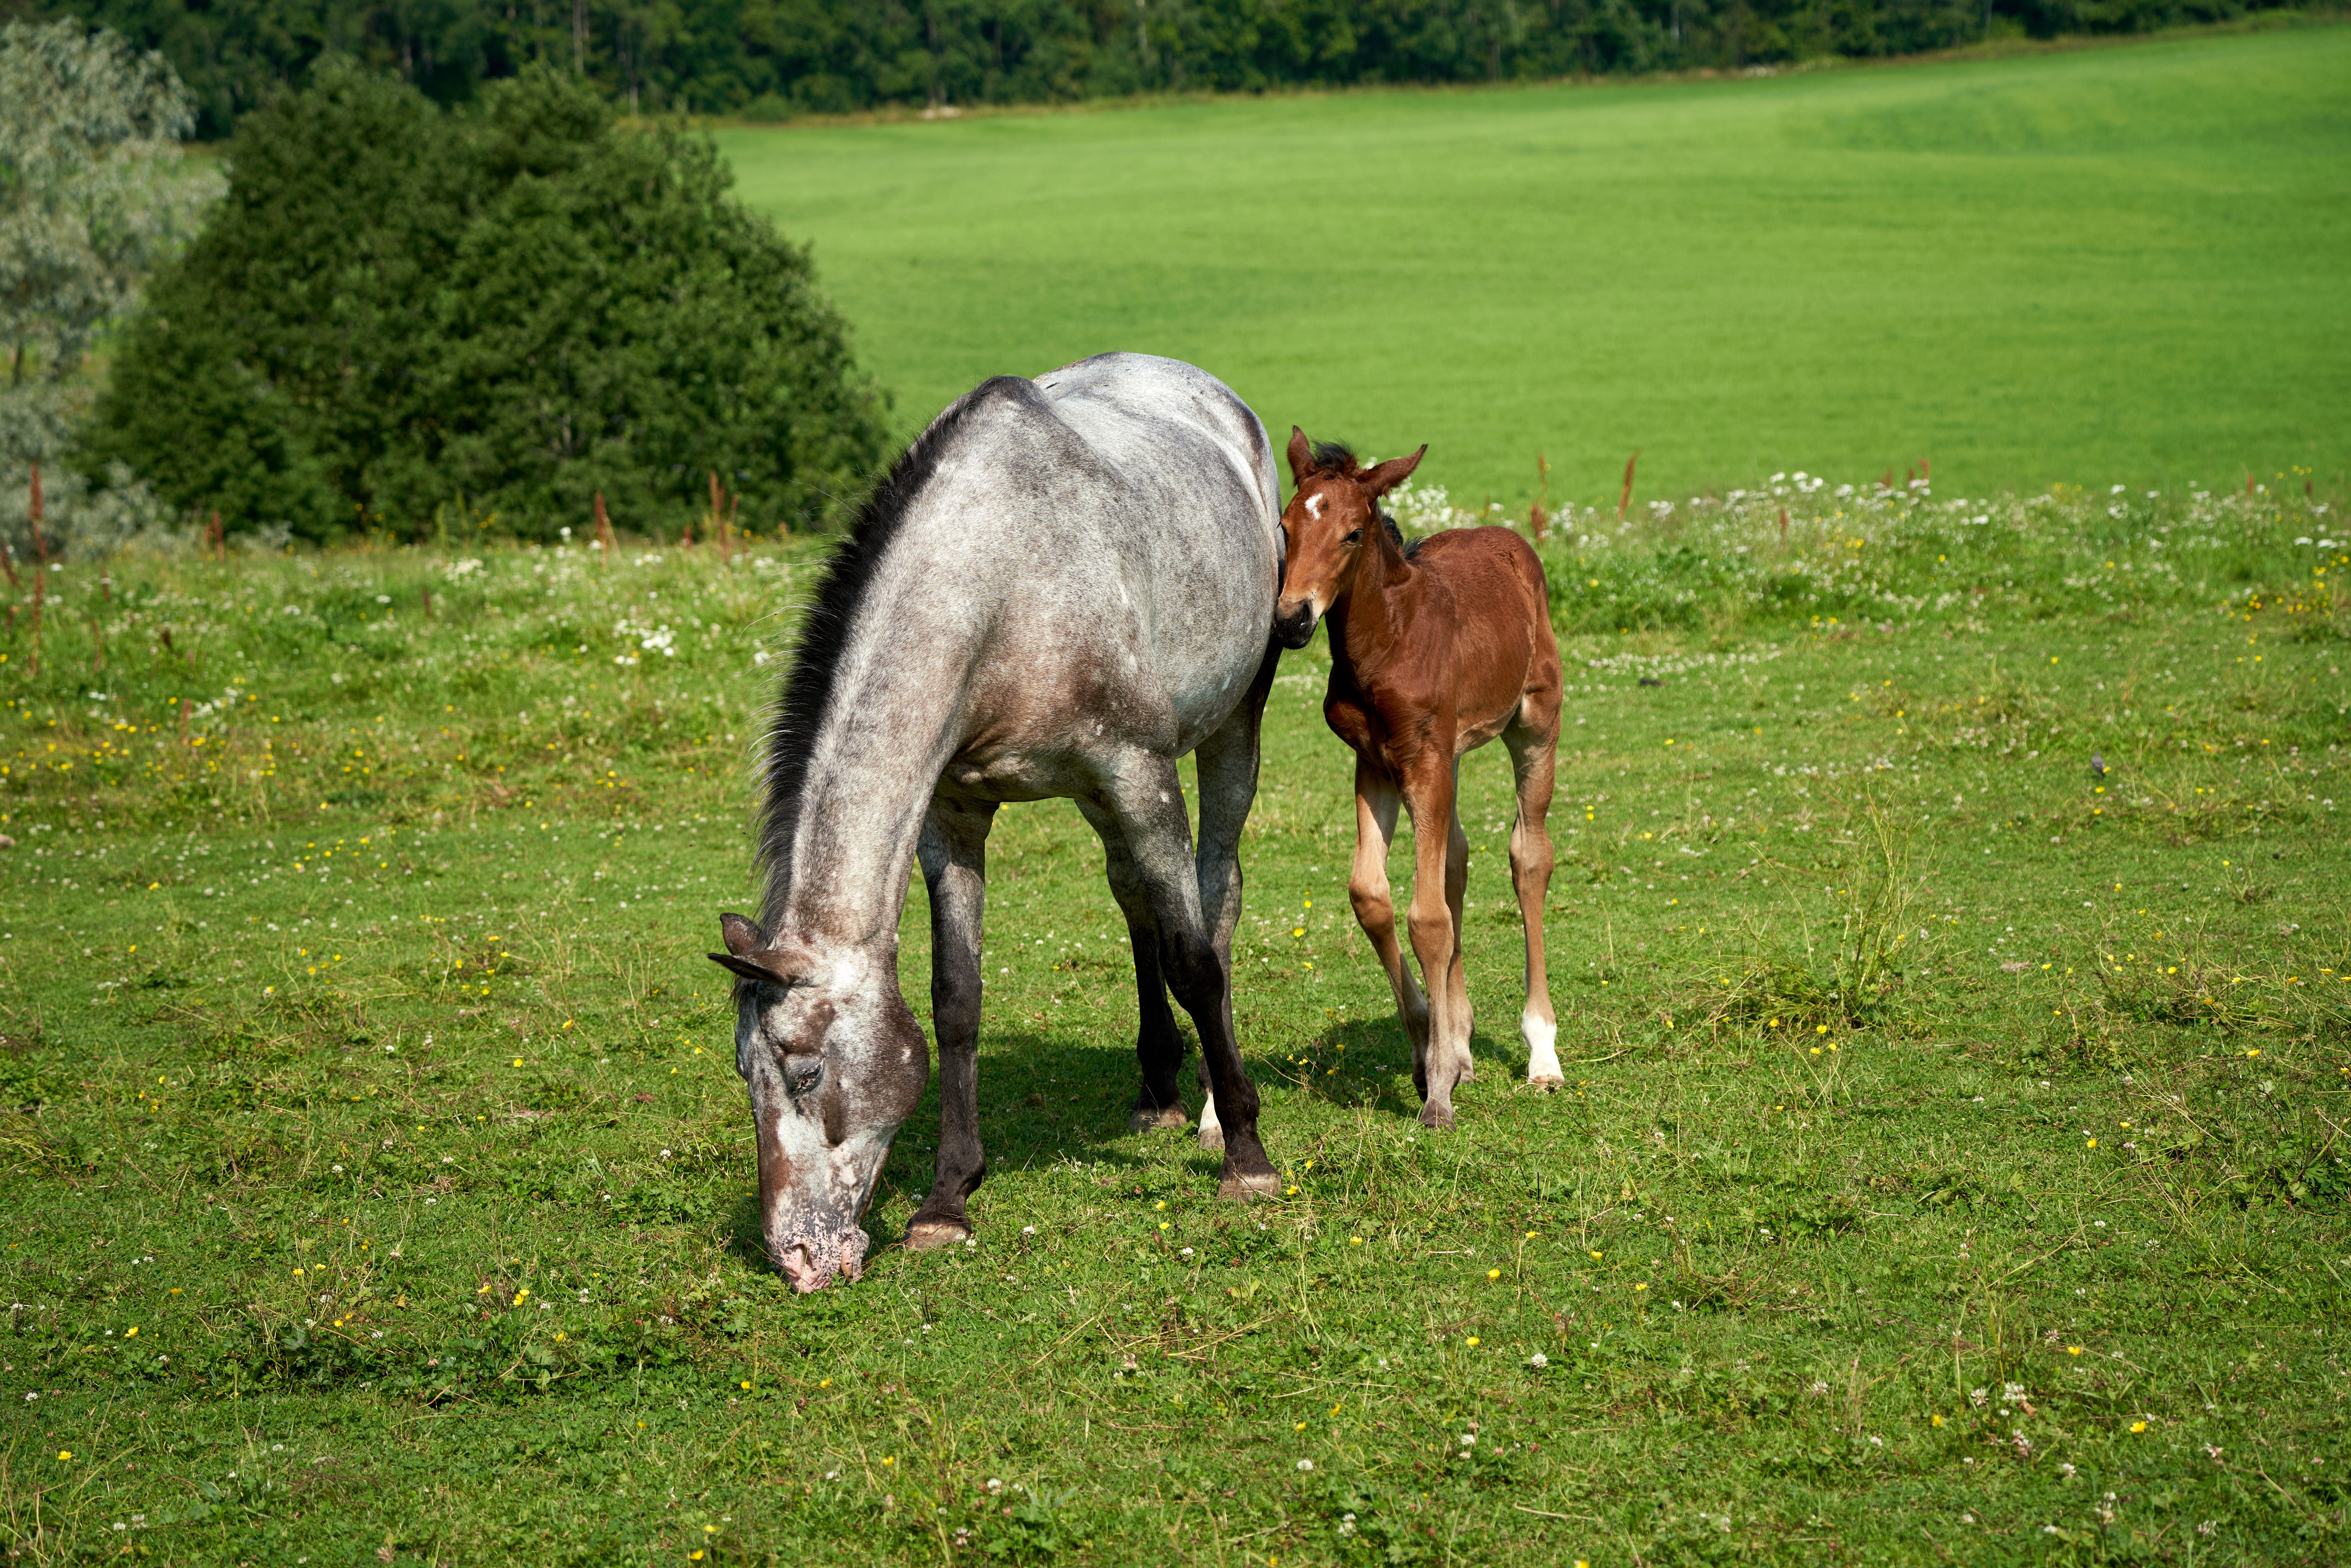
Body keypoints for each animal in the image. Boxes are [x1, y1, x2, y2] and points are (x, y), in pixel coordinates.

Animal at [707, 354, 1287, 1292]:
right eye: (741, 1072)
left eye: (808, 1069)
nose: (794, 1255)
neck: (1000, 587)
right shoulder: (955, 817)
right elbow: (956, 1001)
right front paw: (947, 1201)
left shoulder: (1141, 775)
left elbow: (1195, 961)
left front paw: (1248, 1156)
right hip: (1097, 799)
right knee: (1136, 901)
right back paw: (1158, 1091)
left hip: (1230, 729)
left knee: (1214, 896)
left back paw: (1206, 1111)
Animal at [1271, 428, 1565, 1129]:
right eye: (1286, 525)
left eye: (1352, 533)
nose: (1292, 619)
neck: (1387, 644)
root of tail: (1508, 540)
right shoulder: (1377, 763)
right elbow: (1371, 898)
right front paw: (1432, 1050)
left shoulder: (1424, 762)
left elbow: (1428, 918)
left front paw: (1437, 1091)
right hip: (1450, 755)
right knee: (1456, 857)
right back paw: (1461, 1043)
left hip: (1536, 722)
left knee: (1528, 856)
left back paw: (1542, 1053)